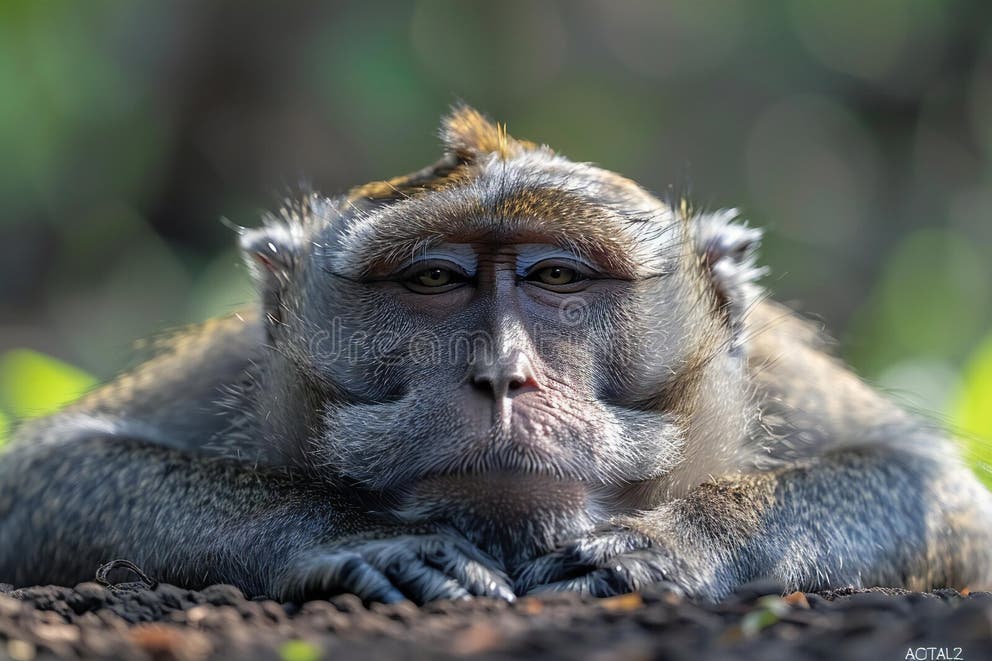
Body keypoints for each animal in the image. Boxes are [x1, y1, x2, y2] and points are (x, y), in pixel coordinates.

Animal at [1, 106, 990, 605]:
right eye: (435, 279)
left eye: (556, 276)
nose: (503, 376)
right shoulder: (240, 367)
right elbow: (41, 475)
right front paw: (356, 534)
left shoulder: (771, 372)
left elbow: (932, 486)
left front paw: (680, 539)